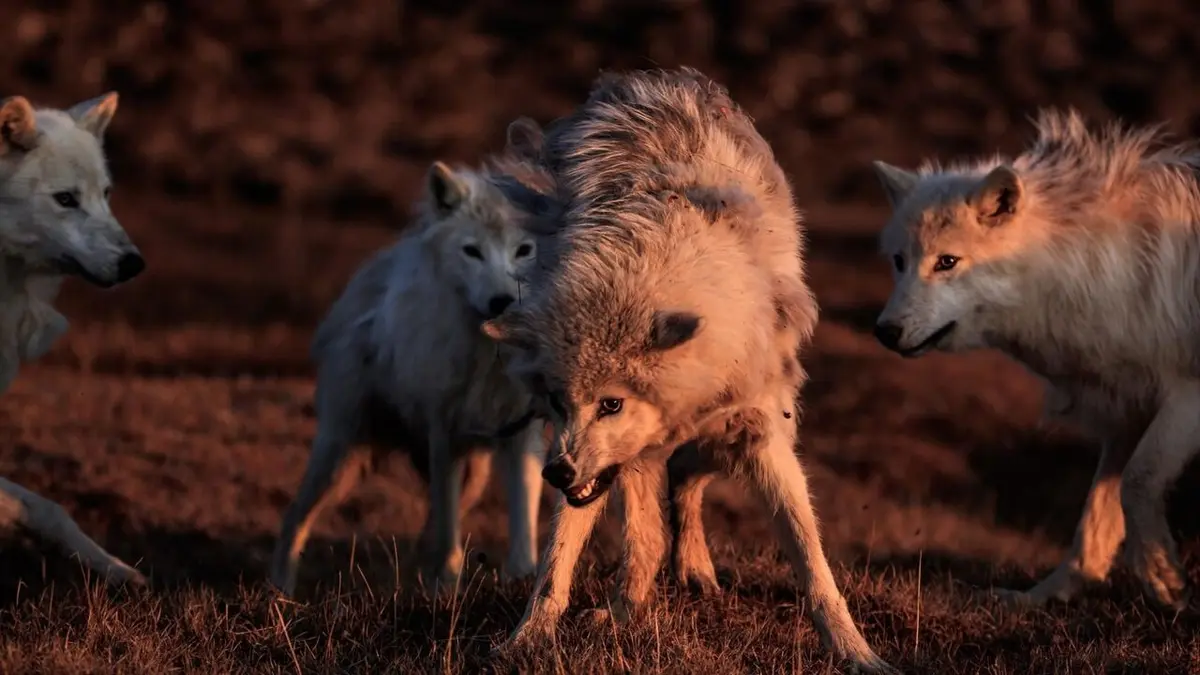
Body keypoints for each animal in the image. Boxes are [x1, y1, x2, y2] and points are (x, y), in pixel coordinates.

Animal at [269, 146, 555, 597]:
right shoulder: (444, 438)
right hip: (340, 453)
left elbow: (522, 521)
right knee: (295, 516)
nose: (502, 301)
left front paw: (521, 578)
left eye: (524, 250)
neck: (487, 355)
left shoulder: (521, 436)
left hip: (471, 474)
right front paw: (447, 590)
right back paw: (280, 593)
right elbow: (448, 531)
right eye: (472, 251)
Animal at [483, 68, 894, 673]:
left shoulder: (759, 429)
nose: (556, 473)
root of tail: (648, 81)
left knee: (687, 483)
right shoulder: (593, 459)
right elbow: (557, 562)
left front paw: (857, 652)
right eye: (560, 400)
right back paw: (630, 603)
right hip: (635, 457)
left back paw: (689, 571)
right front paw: (526, 640)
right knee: (654, 525)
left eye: (611, 402)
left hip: (717, 438)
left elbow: (812, 561)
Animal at [872, 108, 1200, 611]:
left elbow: (1139, 481)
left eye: (947, 262)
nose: (885, 331)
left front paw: (1164, 577)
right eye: (899, 261)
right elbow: (1096, 518)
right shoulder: (1127, 412)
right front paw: (1045, 596)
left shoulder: (1185, 396)